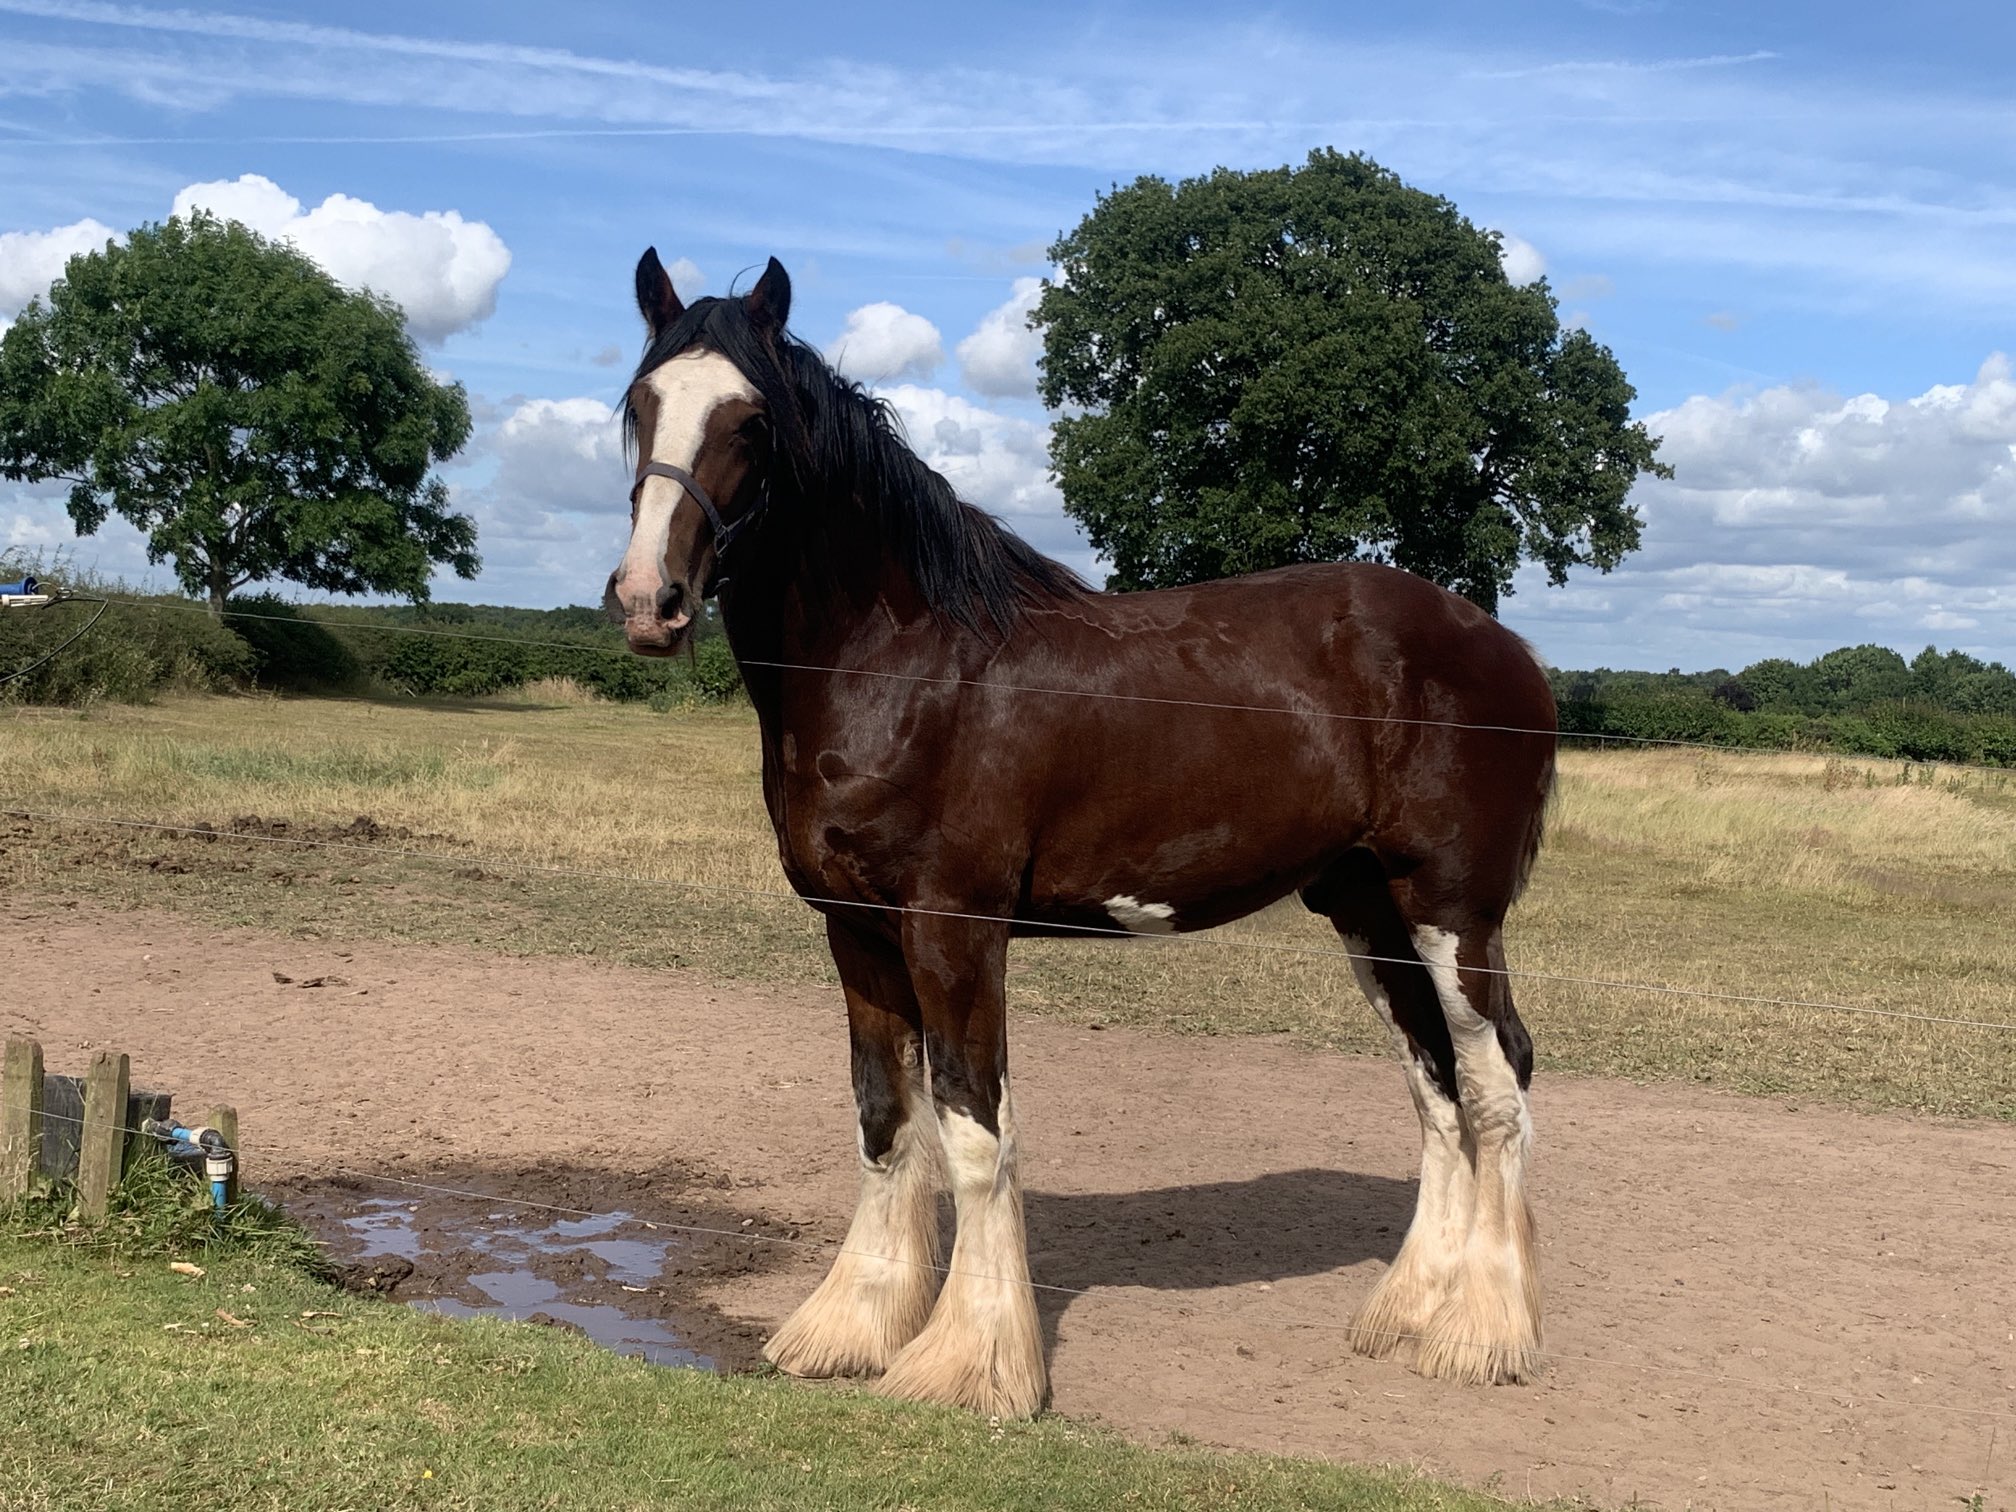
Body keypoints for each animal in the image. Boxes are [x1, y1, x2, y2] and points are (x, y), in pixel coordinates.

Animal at [605, 249, 1557, 1419]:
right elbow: (886, 1123)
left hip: (1450, 910)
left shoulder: (954, 931)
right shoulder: (855, 932)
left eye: (751, 422)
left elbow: (974, 1131)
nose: (650, 600)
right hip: (1368, 910)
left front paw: (973, 1365)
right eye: (639, 406)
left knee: (1497, 1080)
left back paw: (1481, 1332)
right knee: (1436, 1086)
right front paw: (850, 1328)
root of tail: (1504, 648)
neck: (902, 665)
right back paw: (1409, 1311)